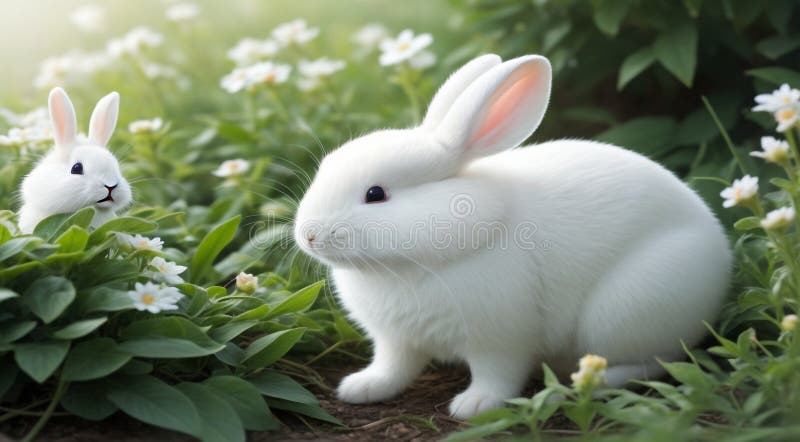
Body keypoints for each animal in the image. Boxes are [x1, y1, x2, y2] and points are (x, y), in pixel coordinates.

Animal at [293, 54, 732, 419]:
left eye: (376, 194)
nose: (309, 235)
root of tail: (720, 261)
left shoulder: (500, 338)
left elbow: (497, 375)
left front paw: (474, 406)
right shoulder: (396, 339)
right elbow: (393, 367)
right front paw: (362, 387)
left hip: (625, 311)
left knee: (655, 361)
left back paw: (584, 382)